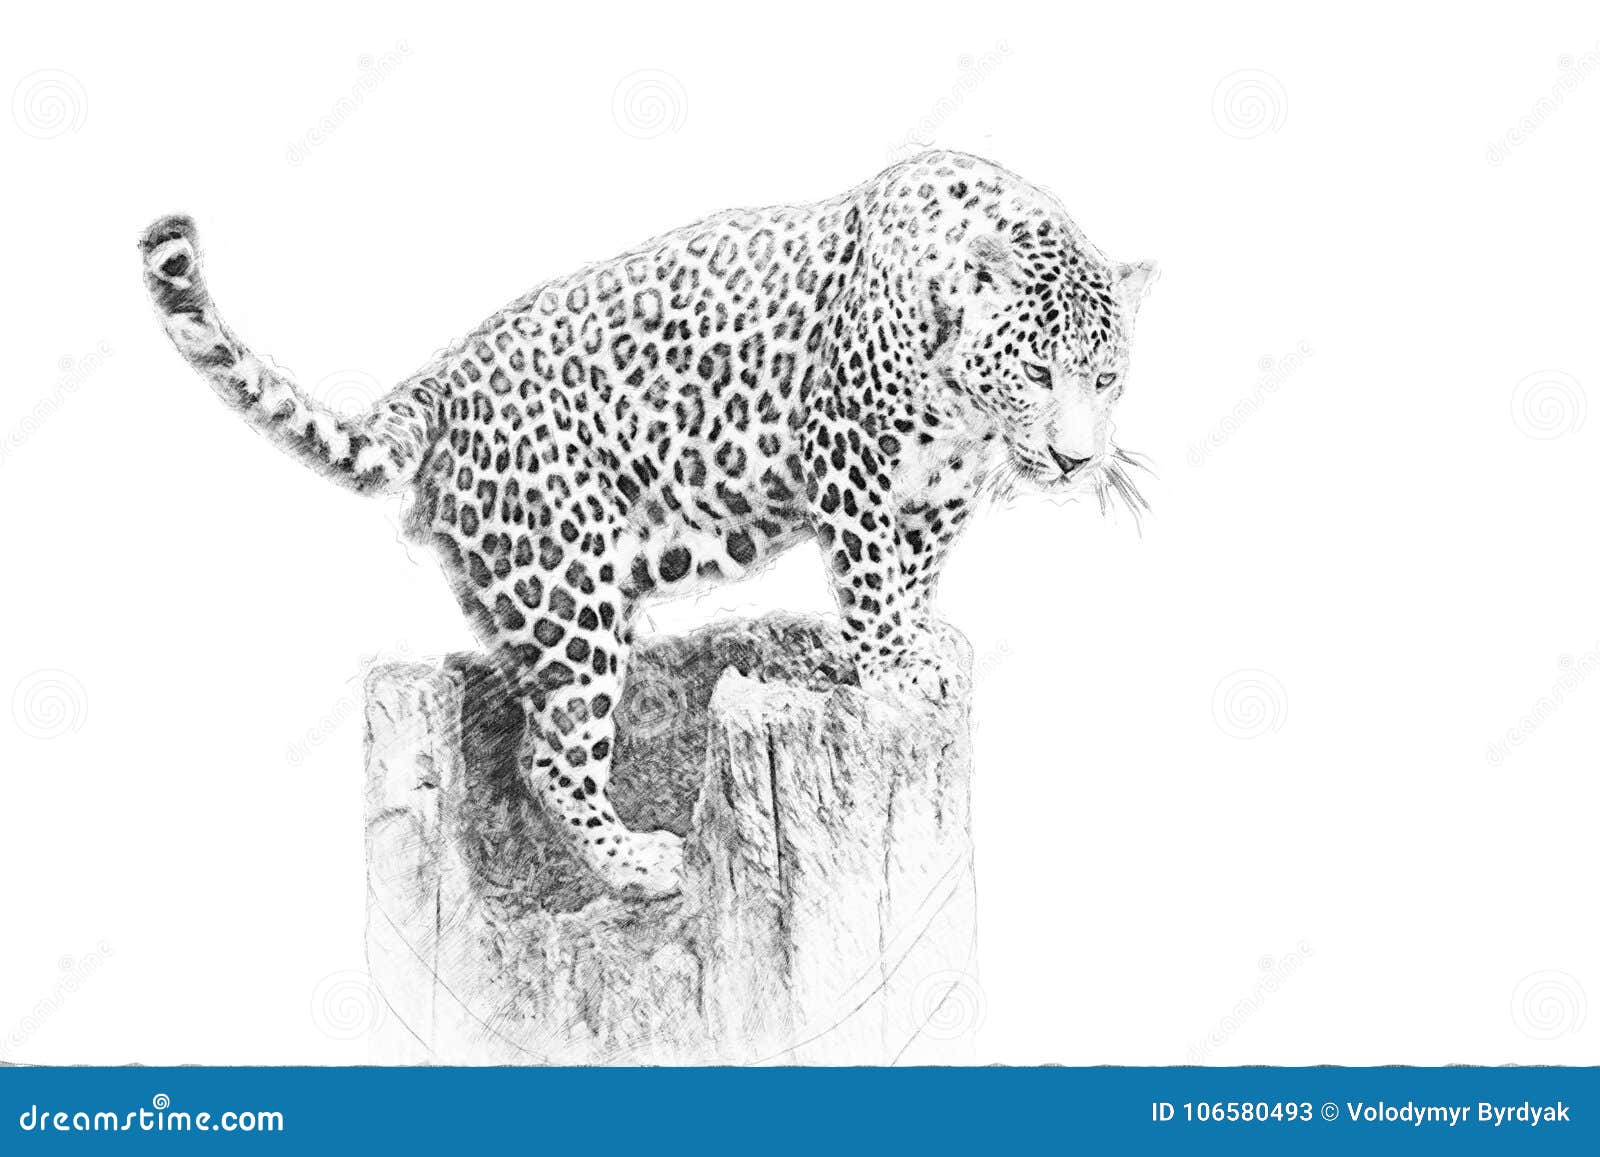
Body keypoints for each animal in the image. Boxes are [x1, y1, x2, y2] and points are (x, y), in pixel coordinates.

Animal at [139, 150, 1157, 899]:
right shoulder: (849, 458)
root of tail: (438, 385)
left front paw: (920, 644)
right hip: (566, 594)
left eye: (1107, 379)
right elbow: (871, 574)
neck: (967, 411)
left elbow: (914, 571)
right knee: (551, 757)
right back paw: (639, 867)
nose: (1075, 459)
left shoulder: (942, 490)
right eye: (1038, 372)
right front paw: (890, 665)